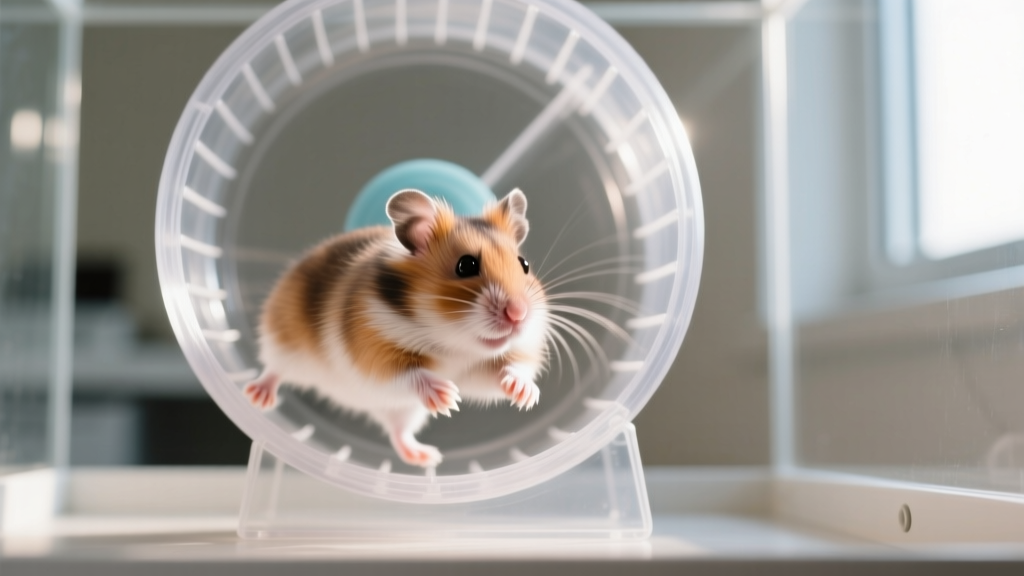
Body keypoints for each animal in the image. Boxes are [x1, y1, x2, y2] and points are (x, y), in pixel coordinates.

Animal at [243, 188, 549, 467]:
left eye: (524, 264)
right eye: (466, 265)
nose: (519, 314)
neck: (453, 343)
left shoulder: (482, 368)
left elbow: (507, 371)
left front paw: (526, 396)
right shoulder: (373, 351)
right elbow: (409, 374)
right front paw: (447, 397)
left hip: (404, 410)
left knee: (398, 432)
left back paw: (426, 457)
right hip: (285, 344)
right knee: (274, 369)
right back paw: (257, 397)